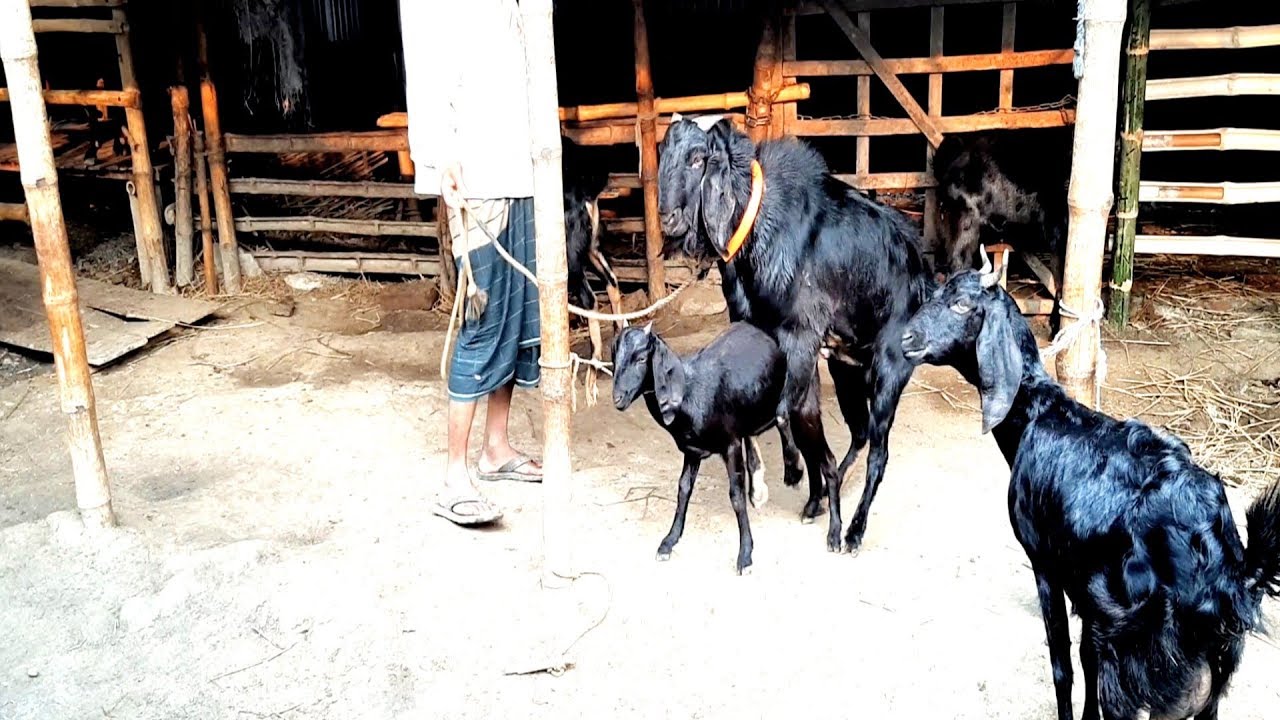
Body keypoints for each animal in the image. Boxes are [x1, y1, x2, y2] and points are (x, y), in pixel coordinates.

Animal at [611, 321, 834, 575]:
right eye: (614, 355)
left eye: (641, 358)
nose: (617, 398)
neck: (690, 391)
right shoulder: (692, 451)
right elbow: (683, 489)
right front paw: (668, 542)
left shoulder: (731, 444)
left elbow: (736, 496)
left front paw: (745, 555)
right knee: (812, 457)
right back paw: (811, 507)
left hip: (805, 408)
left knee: (827, 461)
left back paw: (834, 535)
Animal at [658, 115, 934, 554]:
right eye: (663, 152)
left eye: (698, 158)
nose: (666, 216)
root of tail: (922, 274)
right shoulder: (758, 330)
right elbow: (774, 409)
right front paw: (767, 484)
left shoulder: (801, 335)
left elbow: (784, 411)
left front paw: (791, 470)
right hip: (846, 366)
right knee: (859, 432)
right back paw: (823, 496)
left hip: (891, 366)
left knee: (879, 452)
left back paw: (853, 531)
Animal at [900, 255, 1280, 720]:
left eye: (960, 305)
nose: (906, 338)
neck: (1036, 413)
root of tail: (1227, 573)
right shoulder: (1085, 586)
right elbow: (1085, 658)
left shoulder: (1045, 562)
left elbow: (1062, 663)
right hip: (1213, 667)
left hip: (1142, 654)